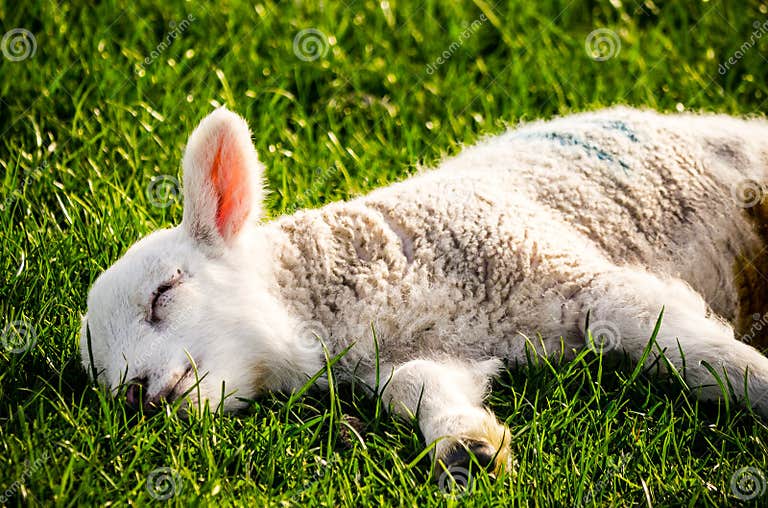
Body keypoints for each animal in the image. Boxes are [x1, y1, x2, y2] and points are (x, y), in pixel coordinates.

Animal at [81, 106, 768, 478]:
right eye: (100, 376)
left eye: (164, 292)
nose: (135, 395)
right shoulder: (424, 353)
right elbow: (413, 386)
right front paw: (469, 447)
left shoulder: (570, 272)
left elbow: (695, 346)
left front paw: (755, 382)